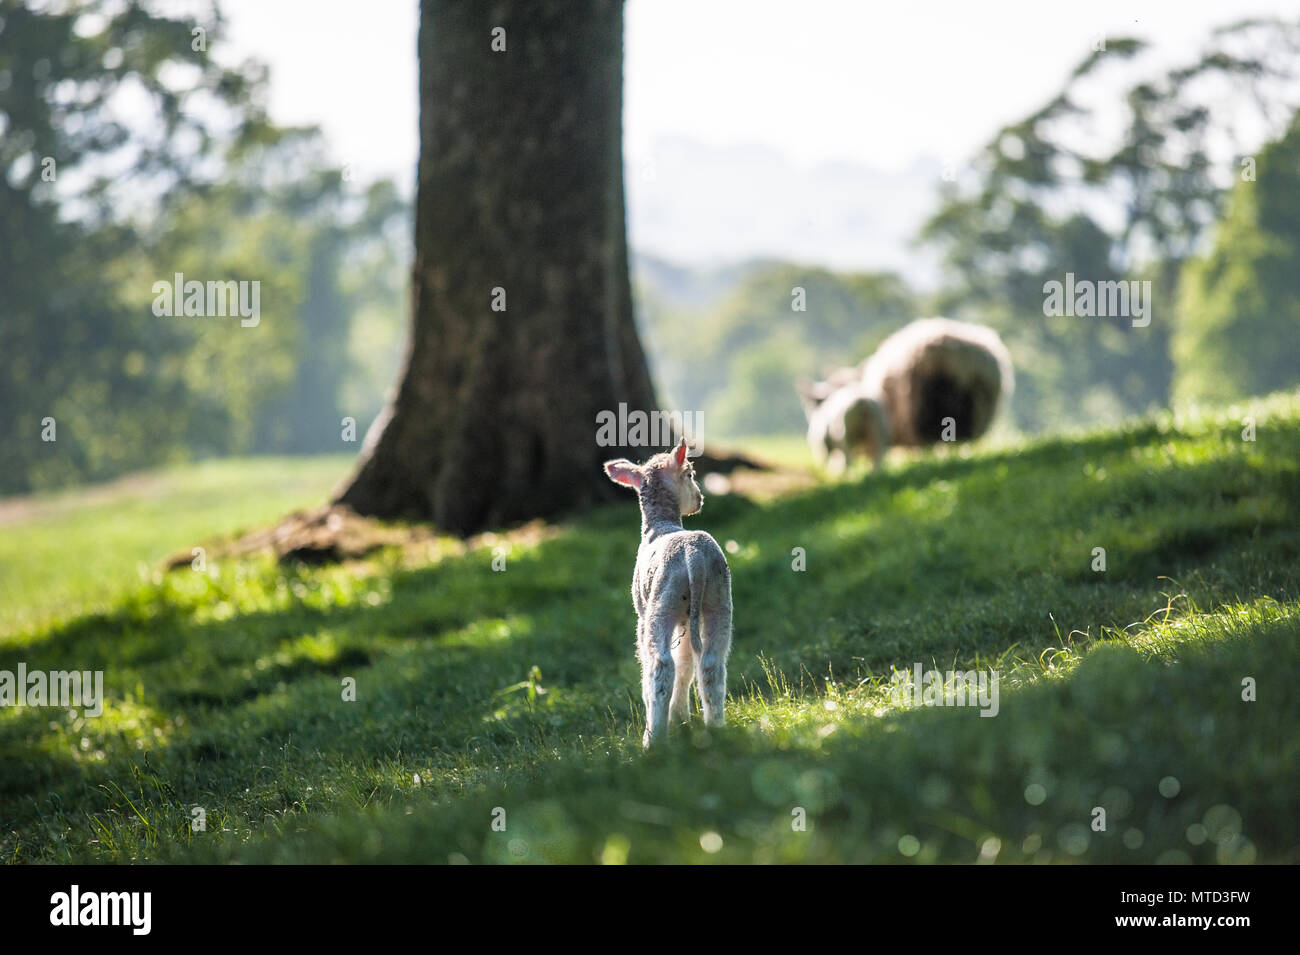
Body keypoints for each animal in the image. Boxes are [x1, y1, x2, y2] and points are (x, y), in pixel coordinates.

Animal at [604, 438, 733, 747]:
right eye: (690, 474)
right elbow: (686, 663)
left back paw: (653, 739)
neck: (660, 525)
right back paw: (715, 728)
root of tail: (694, 557)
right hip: (718, 599)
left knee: (661, 666)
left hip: (661, 604)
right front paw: (681, 717)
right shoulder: (686, 619)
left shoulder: (642, 613)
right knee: (711, 664)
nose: (699, 499)